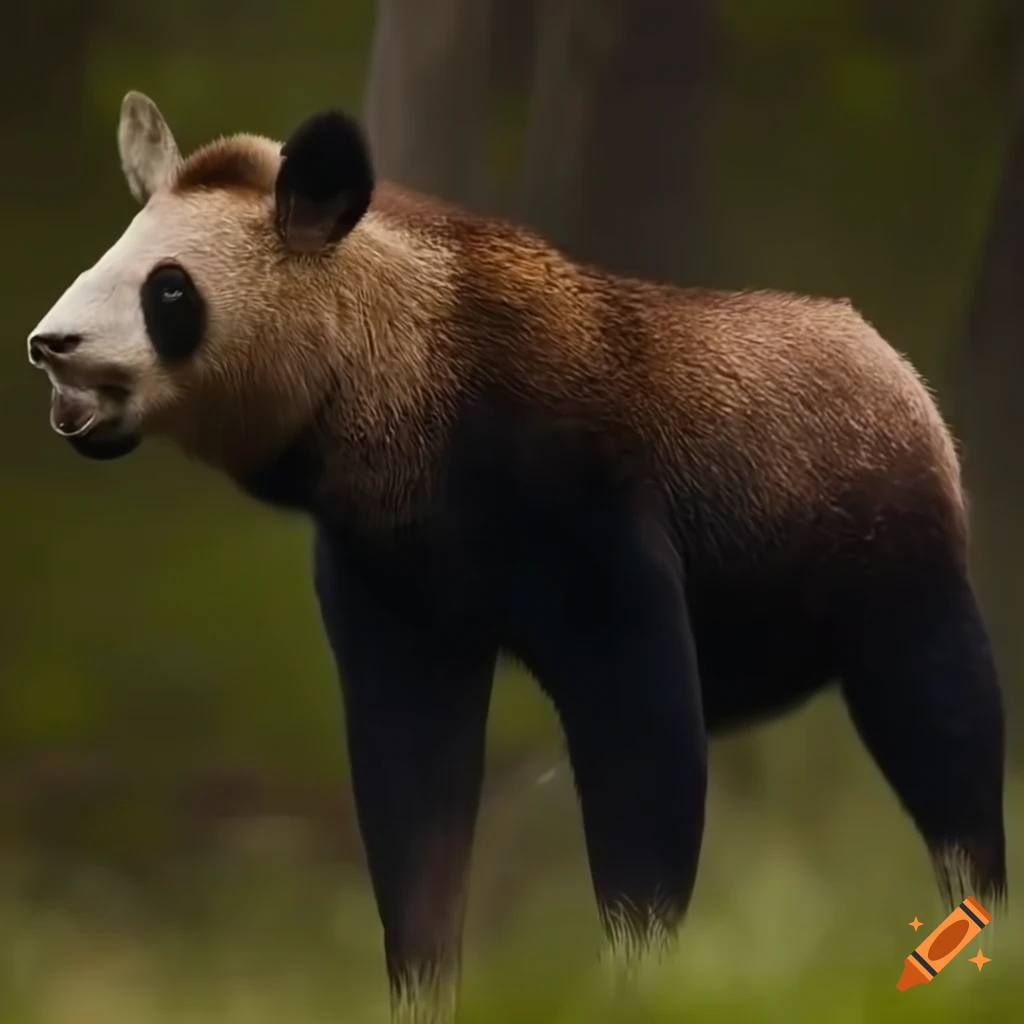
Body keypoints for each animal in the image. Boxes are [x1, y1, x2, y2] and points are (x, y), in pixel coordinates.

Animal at [28, 92, 1006, 1011]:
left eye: (169, 291)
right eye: (110, 260)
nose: (51, 348)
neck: (399, 389)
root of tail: (899, 373)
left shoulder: (590, 519)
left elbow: (640, 747)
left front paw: (639, 984)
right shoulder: (388, 575)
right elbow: (409, 790)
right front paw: (423, 989)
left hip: (893, 554)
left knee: (946, 732)